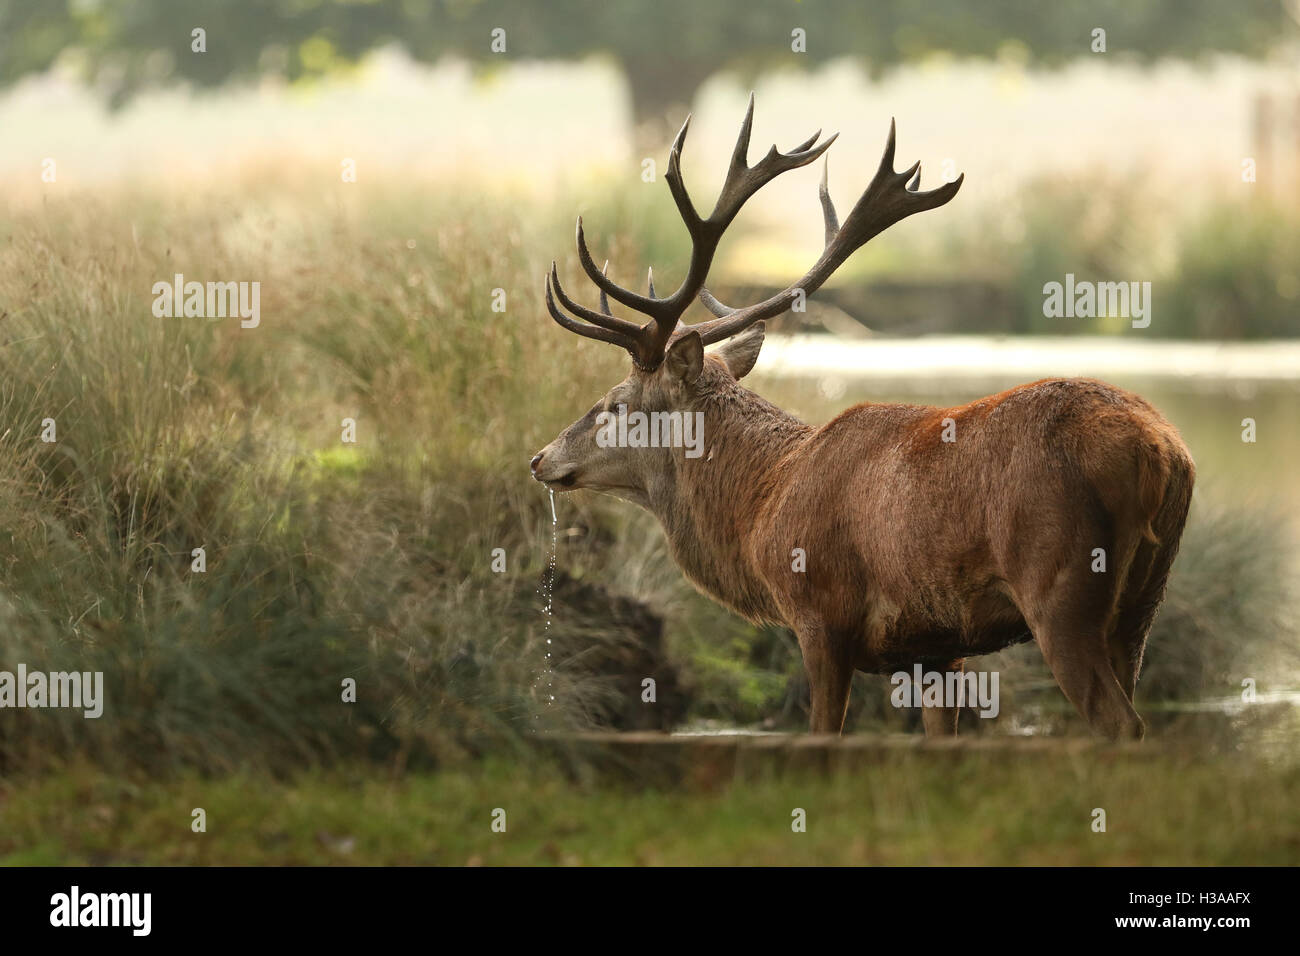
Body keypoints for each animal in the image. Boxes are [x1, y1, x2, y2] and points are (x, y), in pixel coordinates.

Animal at [530, 95, 1195, 739]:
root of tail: (1162, 452)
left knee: (1121, 723)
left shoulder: (820, 613)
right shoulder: (937, 648)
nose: (540, 458)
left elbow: (824, 735)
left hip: (1060, 585)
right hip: (1143, 600)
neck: (761, 509)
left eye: (617, 403)